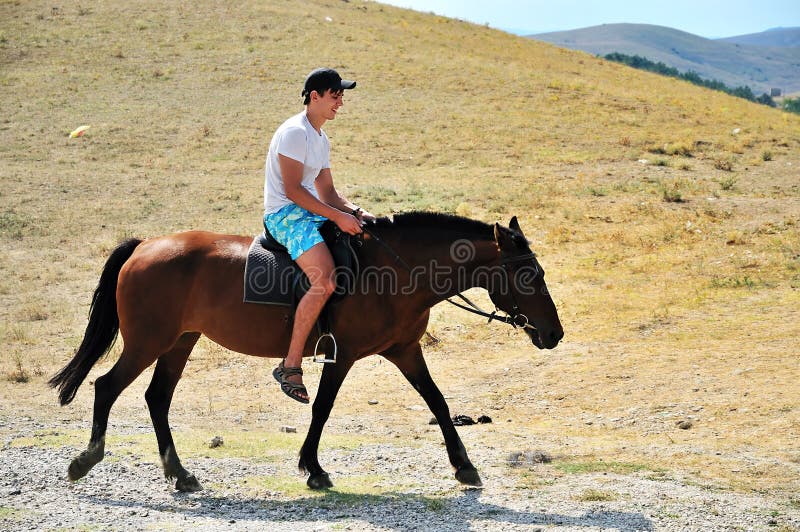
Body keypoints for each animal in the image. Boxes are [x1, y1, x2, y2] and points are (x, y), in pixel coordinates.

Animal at [49, 212, 563, 491]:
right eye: (528, 274)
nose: (555, 334)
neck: (395, 271)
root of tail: (143, 246)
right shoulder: (345, 354)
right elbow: (322, 408)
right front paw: (313, 469)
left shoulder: (404, 351)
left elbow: (437, 402)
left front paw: (465, 467)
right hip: (148, 342)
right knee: (106, 387)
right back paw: (85, 460)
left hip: (179, 342)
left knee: (157, 398)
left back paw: (181, 474)